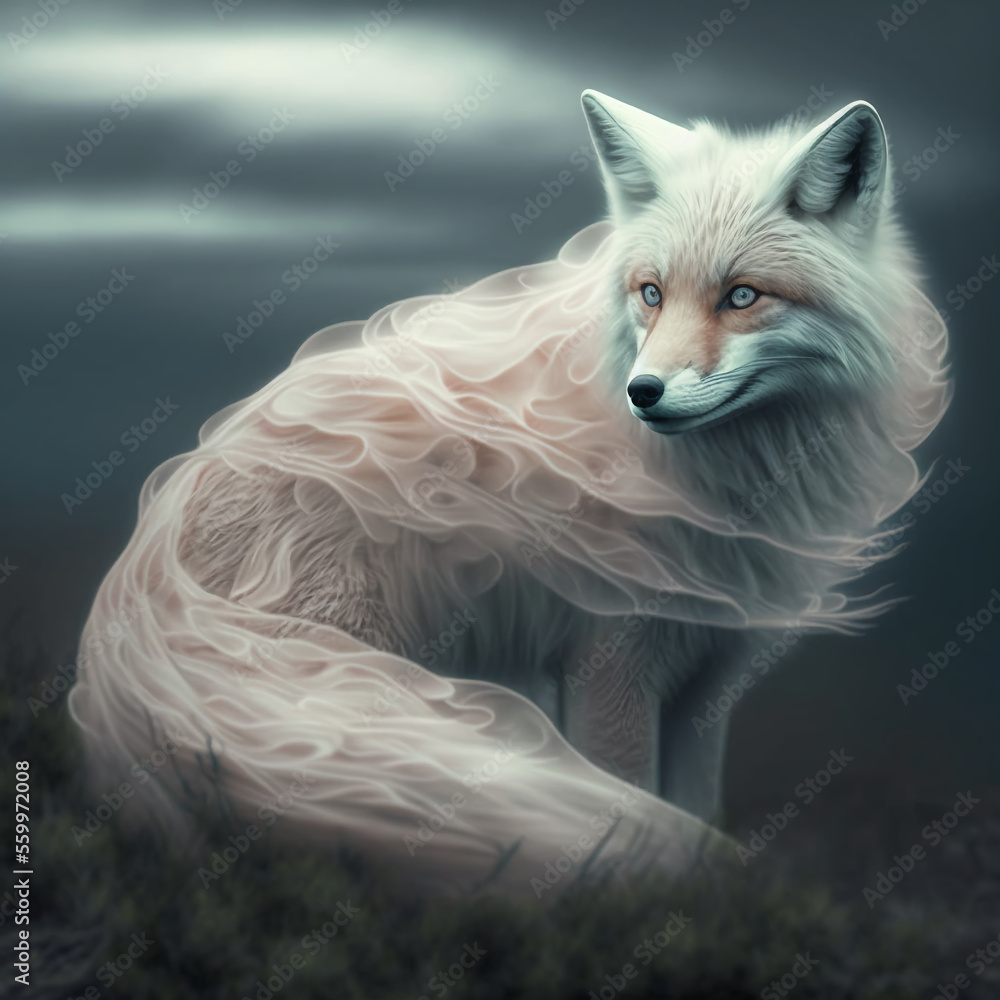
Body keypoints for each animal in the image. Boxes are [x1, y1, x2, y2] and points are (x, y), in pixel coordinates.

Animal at [68, 91, 950, 898]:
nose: (644, 394)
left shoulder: (709, 679)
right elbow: (632, 797)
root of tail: (149, 549)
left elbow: (694, 802)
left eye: (742, 296)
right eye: (651, 292)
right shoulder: (612, 665)